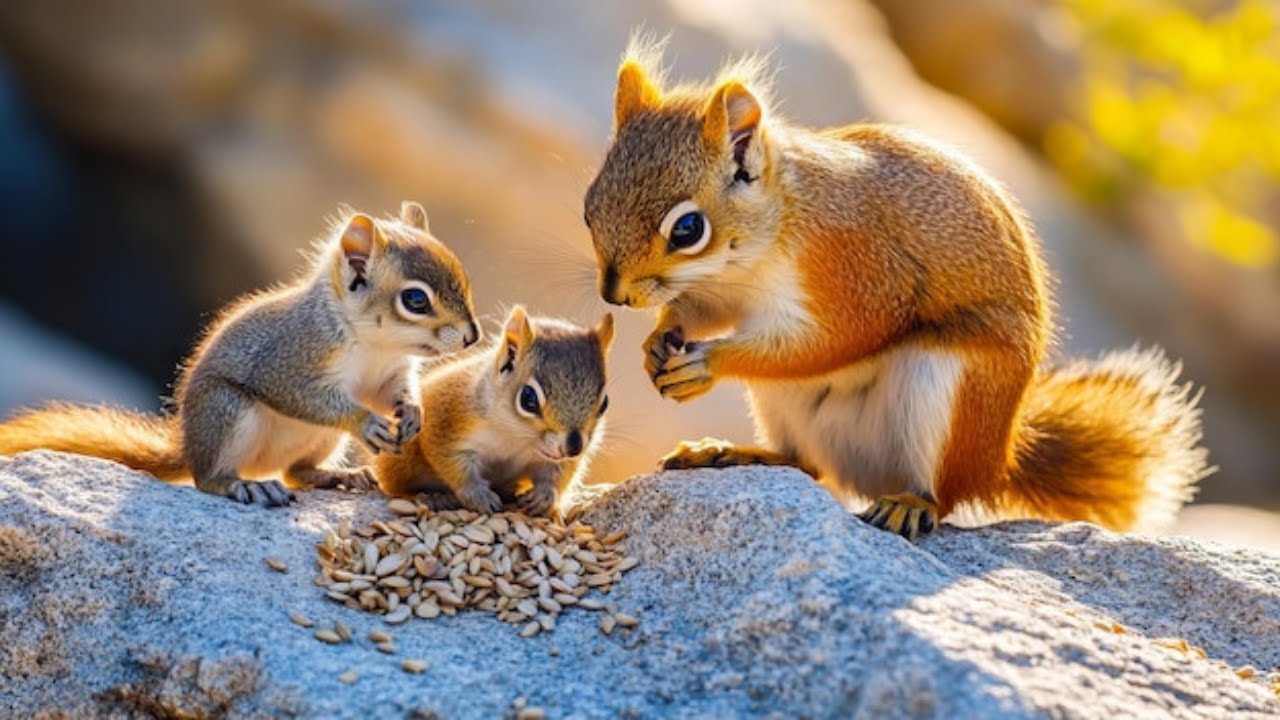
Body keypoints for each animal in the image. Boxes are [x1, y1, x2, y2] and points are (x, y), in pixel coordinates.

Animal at [0, 201, 479, 507]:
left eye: (463, 275)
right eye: (415, 300)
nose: (472, 337)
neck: (376, 345)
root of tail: (190, 446)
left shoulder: (390, 372)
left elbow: (395, 391)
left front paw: (412, 412)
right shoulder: (291, 356)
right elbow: (302, 396)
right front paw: (367, 421)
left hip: (322, 441)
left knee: (295, 472)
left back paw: (334, 475)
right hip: (228, 413)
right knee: (208, 479)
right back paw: (244, 487)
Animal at [376, 305, 613, 517]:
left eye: (604, 404)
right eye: (528, 399)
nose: (573, 448)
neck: (515, 434)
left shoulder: (556, 459)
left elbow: (558, 474)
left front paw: (545, 496)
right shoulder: (448, 422)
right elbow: (453, 463)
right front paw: (477, 495)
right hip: (403, 457)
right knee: (395, 487)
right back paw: (434, 497)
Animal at [581, 39, 1211, 539]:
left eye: (688, 229)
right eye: (589, 205)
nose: (615, 295)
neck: (768, 236)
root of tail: (1000, 459)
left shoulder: (860, 270)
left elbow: (839, 337)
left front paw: (705, 363)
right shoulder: (722, 291)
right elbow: (700, 312)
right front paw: (658, 342)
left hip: (943, 384)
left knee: (942, 493)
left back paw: (909, 504)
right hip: (782, 403)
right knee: (806, 465)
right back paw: (729, 453)